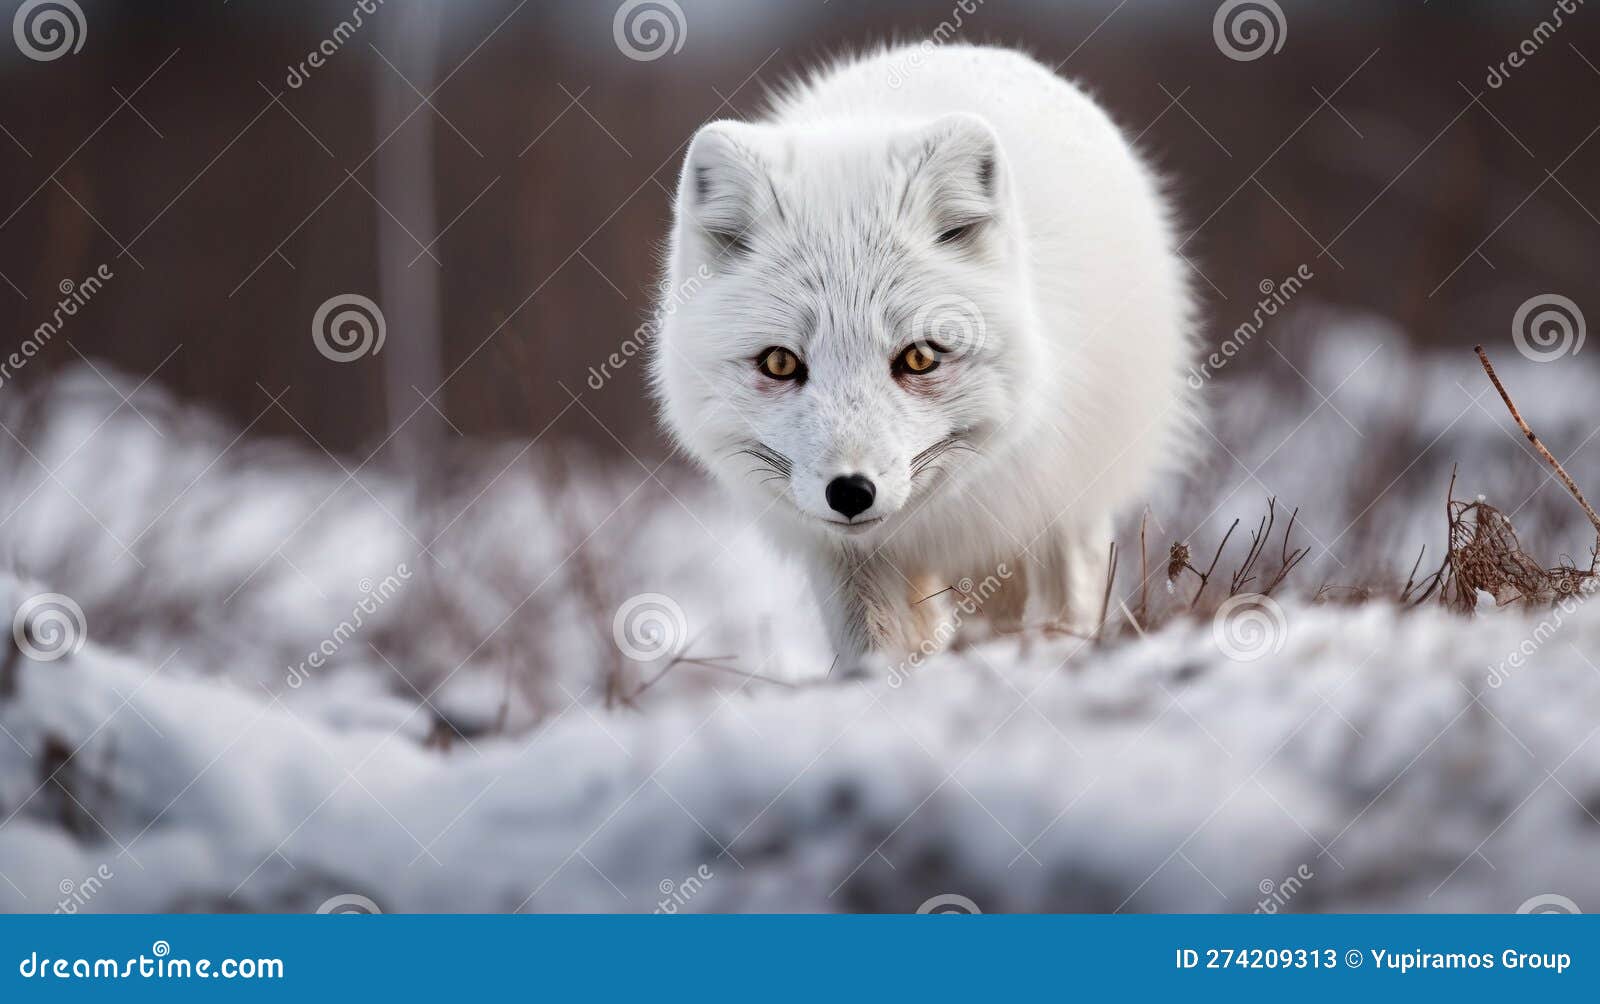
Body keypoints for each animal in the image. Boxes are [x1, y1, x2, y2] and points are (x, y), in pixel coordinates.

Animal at [651, 43, 1196, 675]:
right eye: (781, 364)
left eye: (918, 358)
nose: (850, 492)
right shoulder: (841, 557)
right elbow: (876, 651)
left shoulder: (1060, 500)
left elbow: (1067, 608)